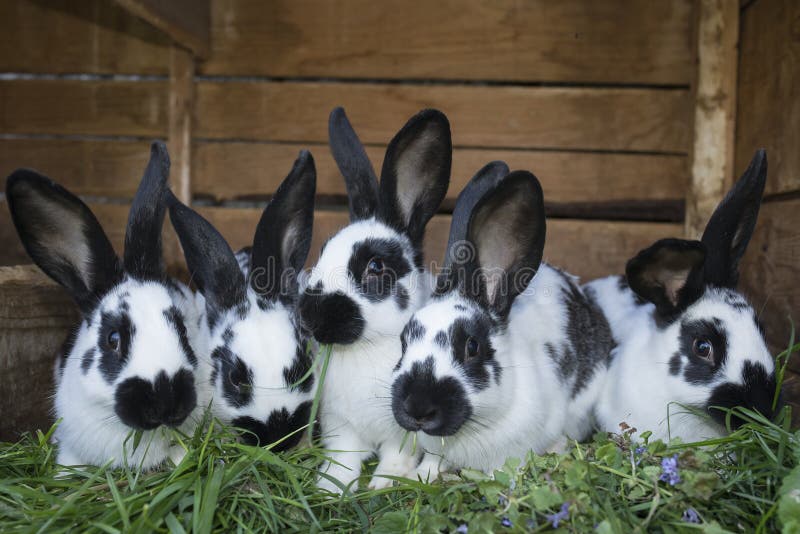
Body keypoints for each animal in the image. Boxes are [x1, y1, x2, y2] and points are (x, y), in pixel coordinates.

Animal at [296, 107, 451, 492]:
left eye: (375, 266)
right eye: (322, 250)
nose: (310, 315)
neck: (368, 347)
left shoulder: (407, 430)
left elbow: (397, 454)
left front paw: (385, 482)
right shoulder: (341, 426)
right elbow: (344, 459)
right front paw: (331, 487)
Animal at [389, 168, 615, 479]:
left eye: (472, 347)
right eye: (404, 342)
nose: (417, 408)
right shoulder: (436, 452)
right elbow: (432, 464)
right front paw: (419, 476)